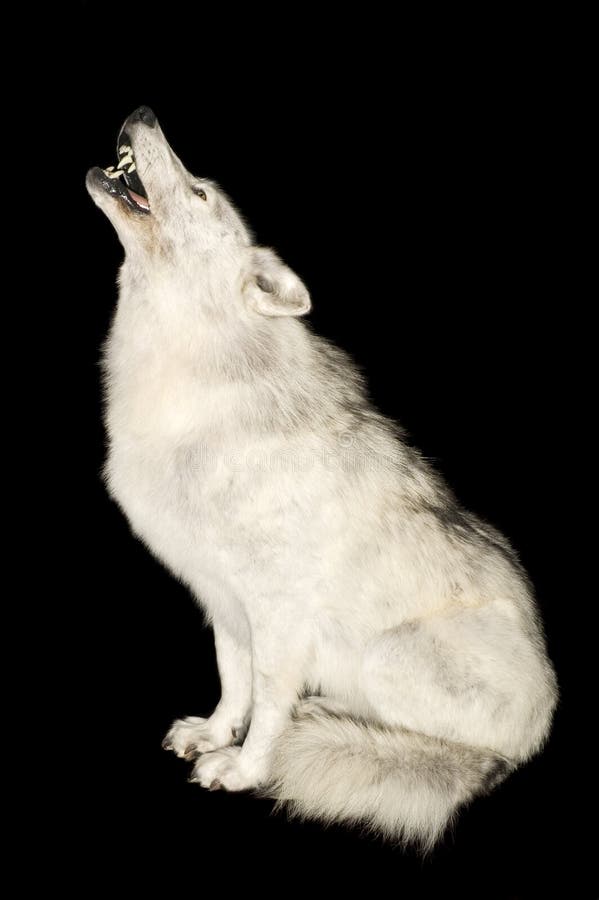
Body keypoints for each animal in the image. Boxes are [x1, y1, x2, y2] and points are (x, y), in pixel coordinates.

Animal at [86, 106, 558, 850]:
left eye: (199, 193)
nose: (143, 114)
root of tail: (533, 735)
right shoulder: (221, 596)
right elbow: (235, 679)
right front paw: (215, 733)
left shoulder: (276, 607)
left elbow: (269, 698)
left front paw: (245, 768)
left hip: (390, 656)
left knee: (439, 749)